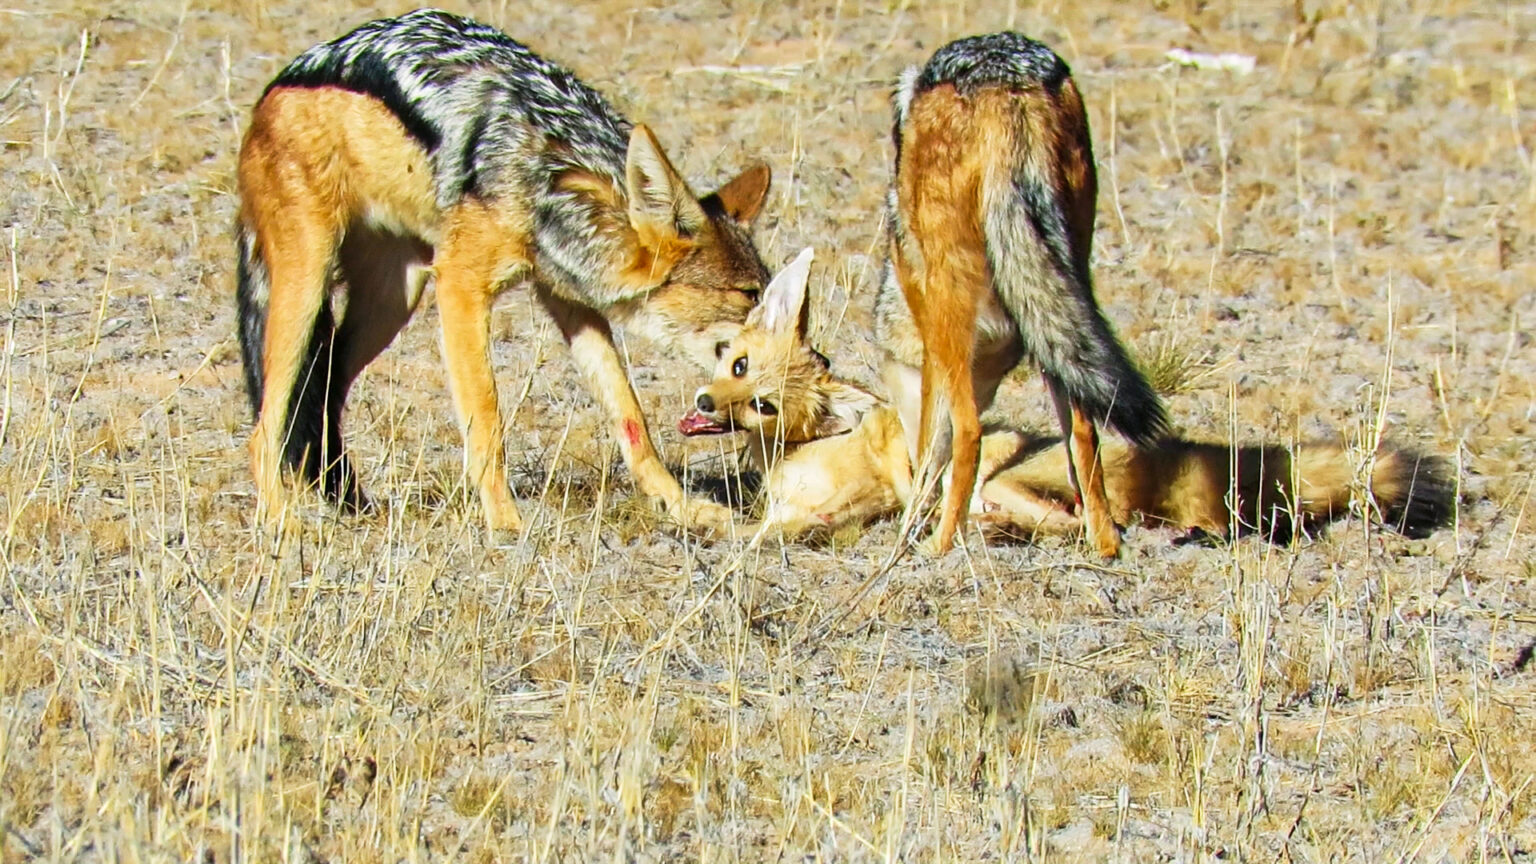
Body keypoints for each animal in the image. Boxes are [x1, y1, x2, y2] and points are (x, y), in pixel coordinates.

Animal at [235, 10, 772, 537]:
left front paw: (679, 506)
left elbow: (630, 415)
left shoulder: (569, 301)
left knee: (323, 390)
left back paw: (348, 501)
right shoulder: (460, 287)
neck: (554, 174)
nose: (798, 357)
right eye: (749, 295)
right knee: (264, 427)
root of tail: (275, 87)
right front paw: (505, 522)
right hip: (309, 287)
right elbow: (487, 420)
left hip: (393, 300)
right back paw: (281, 521)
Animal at [680, 249, 1453, 545]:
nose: (707, 404)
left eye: (764, 403)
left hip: (989, 484)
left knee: (1067, 520)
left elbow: (749, 529)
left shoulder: (823, 510)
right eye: (735, 364)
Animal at [876, 33, 1169, 557]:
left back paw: (940, 545)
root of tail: (1005, 78)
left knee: (970, 432)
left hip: (951, 307)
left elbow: (934, 447)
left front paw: (912, 526)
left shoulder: (931, 341)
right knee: (1084, 429)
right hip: (1065, 293)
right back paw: (1103, 541)